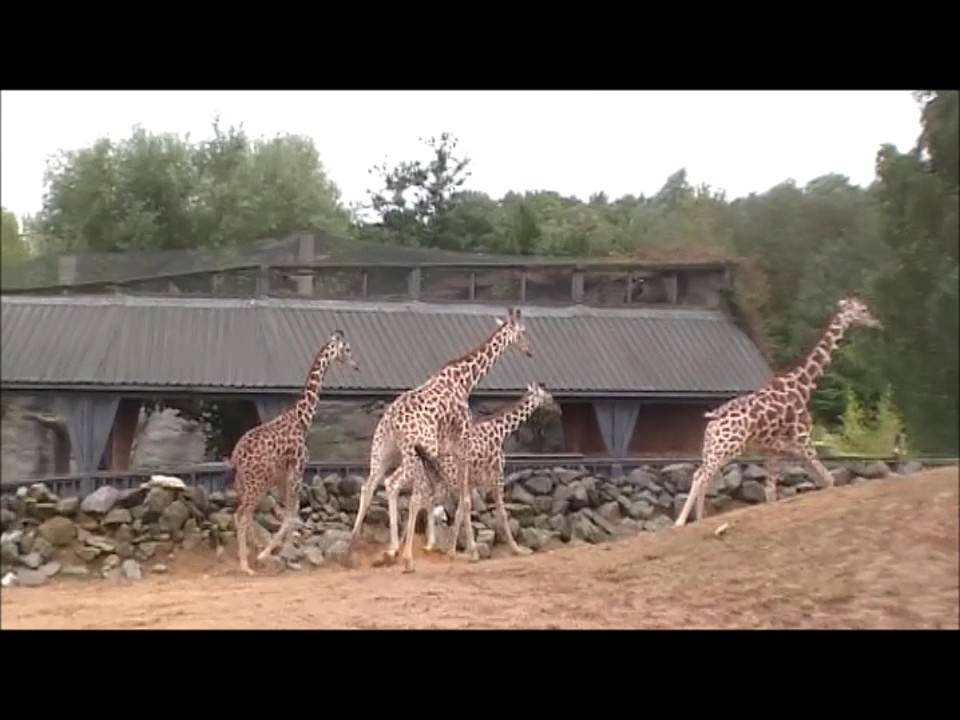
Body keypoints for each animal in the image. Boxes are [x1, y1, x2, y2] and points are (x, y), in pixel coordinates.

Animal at [227, 330, 359, 575]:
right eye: (347, 349)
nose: (356, 365)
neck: (302, 419)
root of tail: (236, 457)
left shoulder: (283, 476)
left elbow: (289, 514)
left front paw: (276, 554)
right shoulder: (297, 469)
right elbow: (291, 515)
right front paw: (269, 555)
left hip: (245, 483)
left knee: (245, 515)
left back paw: (250, 553)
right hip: (256, 482)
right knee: (241, 515)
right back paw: (245, 565)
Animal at [348, 307, 533, 573]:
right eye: (524, 331)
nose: (529, 351)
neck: (465, 380)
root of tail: (391, 420)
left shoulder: (442, 452)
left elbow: (442, 497)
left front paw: (441, 546)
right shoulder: (461, 444)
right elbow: (463, 499)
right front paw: (471, 552)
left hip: (383, 451)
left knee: (371, 485)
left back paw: (356, 548)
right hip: (412, 452)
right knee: (398, 487)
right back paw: (404, 558)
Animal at [408, 382, 562, 560]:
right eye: (548, 395)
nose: (559, 409)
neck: (501, 431)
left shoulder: (471, 482)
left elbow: (460, 511)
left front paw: (453, 551)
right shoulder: (497, 474)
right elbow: (501, 512)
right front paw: (516, 549)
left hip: (437, 479)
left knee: (422, 502)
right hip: (445, 481)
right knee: (423, 503)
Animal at [674, 294, 882, 528]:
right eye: (863, 310)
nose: (877, 322)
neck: (803, 385)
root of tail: (713, 419)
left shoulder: (773, 448)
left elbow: (772, 492)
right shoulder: (802, 438)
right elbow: (828, 480)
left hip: (711, 446)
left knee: (700, 474)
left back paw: (698, 519)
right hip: (728, 447)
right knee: (702, 476)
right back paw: (681, 522)